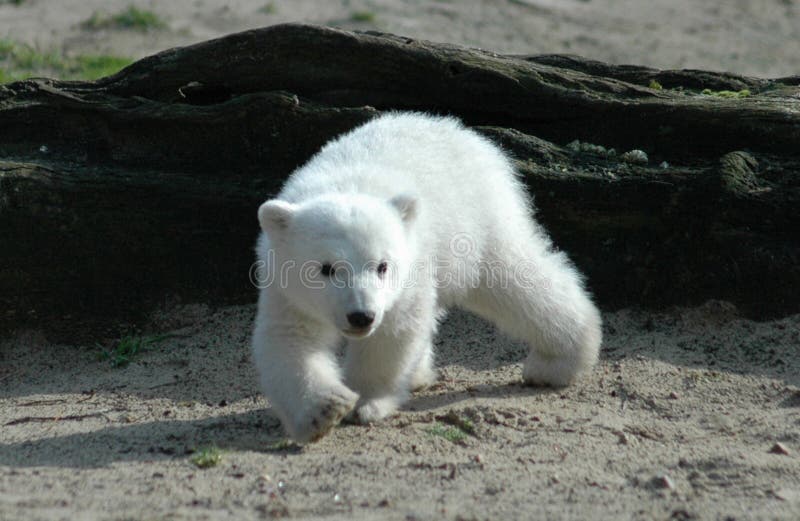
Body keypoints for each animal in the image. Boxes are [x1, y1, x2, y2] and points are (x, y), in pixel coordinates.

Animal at [251, 112, 602, 443]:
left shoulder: (410, 269)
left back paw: (558, 360)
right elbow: (290, 338)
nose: (362, 316)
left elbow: (393, 330)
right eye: (326, 268)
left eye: (382, 266)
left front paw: (365, 402)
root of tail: (463, 131)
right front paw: (325, 409)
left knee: (517, 280)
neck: (345, 186)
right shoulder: (285, 285)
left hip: (476, 225)